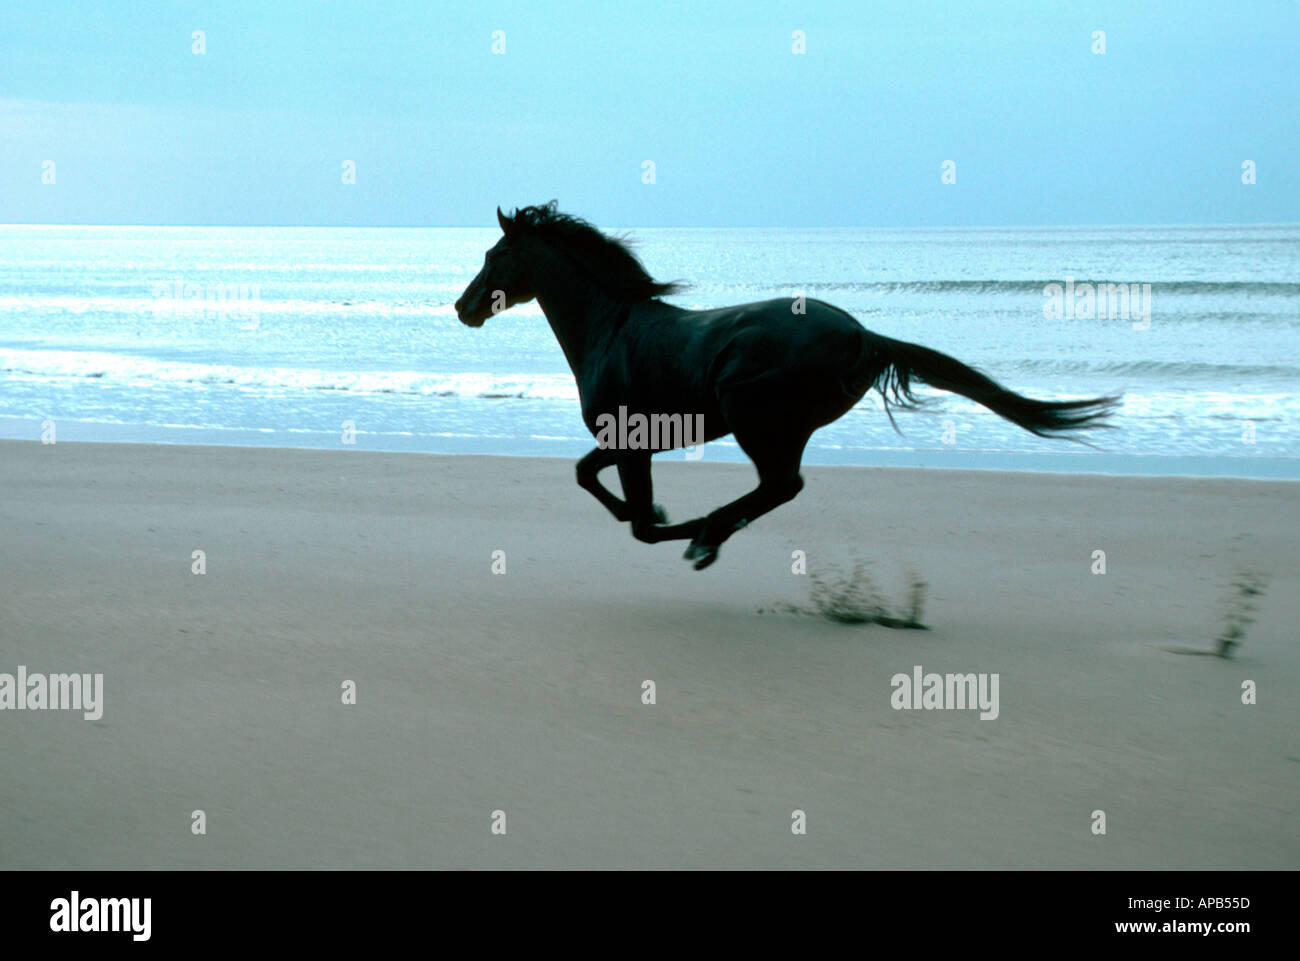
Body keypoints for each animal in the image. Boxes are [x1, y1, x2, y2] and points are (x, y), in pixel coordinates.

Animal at [454, 202, 1120, 570]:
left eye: (493, 254)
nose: (464, 306)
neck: (612, 329)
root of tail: (862, 335)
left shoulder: (633, 442)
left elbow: (637, 519)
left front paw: (679, 523)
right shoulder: (629, 442)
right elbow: (589, 478)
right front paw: (673, 517)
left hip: (750, 413)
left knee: (779, 484)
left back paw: (708, 537)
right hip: (782, 426)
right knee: (783, 486)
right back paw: (712, 533)